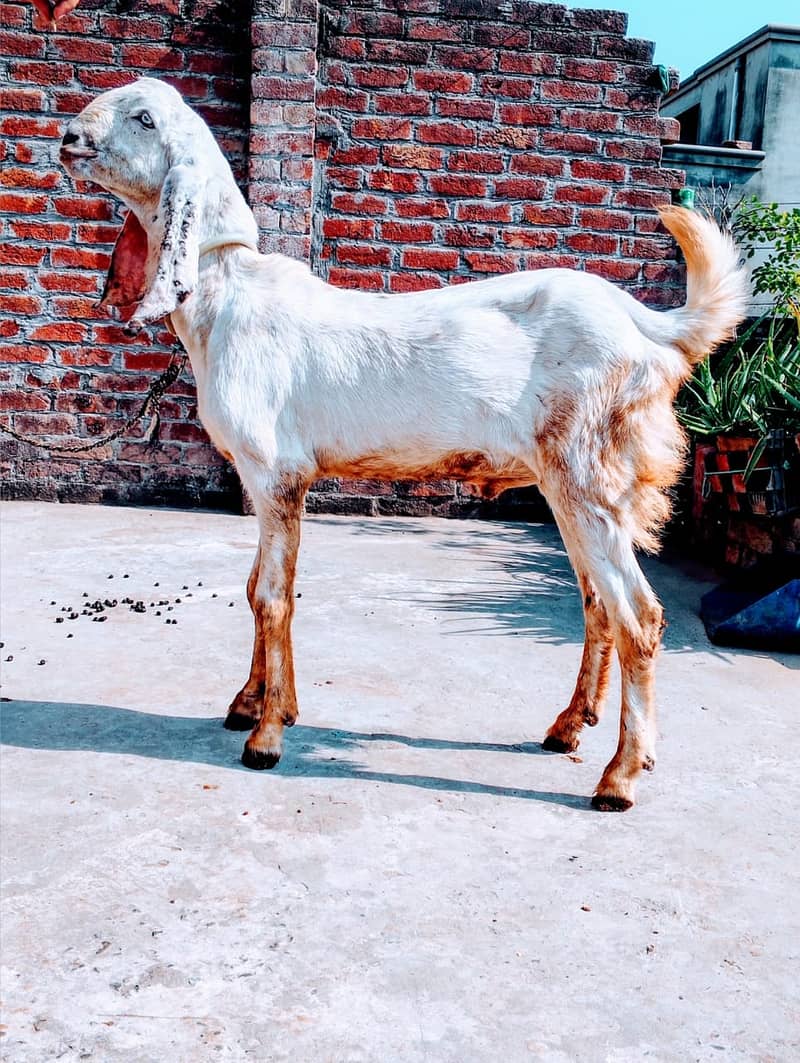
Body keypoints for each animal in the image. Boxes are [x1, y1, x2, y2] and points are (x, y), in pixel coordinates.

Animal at [60, 78, 748, 810]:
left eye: (144, 118)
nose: (69, 139)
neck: (225, 295)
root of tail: (650, 326)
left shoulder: (275, 472)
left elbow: (272, 597)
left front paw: (266, 737)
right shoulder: (266, 478)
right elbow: (260, 588)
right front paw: (259, 704)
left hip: (590, 469)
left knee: (639, 616)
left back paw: (619, 777)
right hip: (570, 481)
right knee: (598, 604)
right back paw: (567, 727)